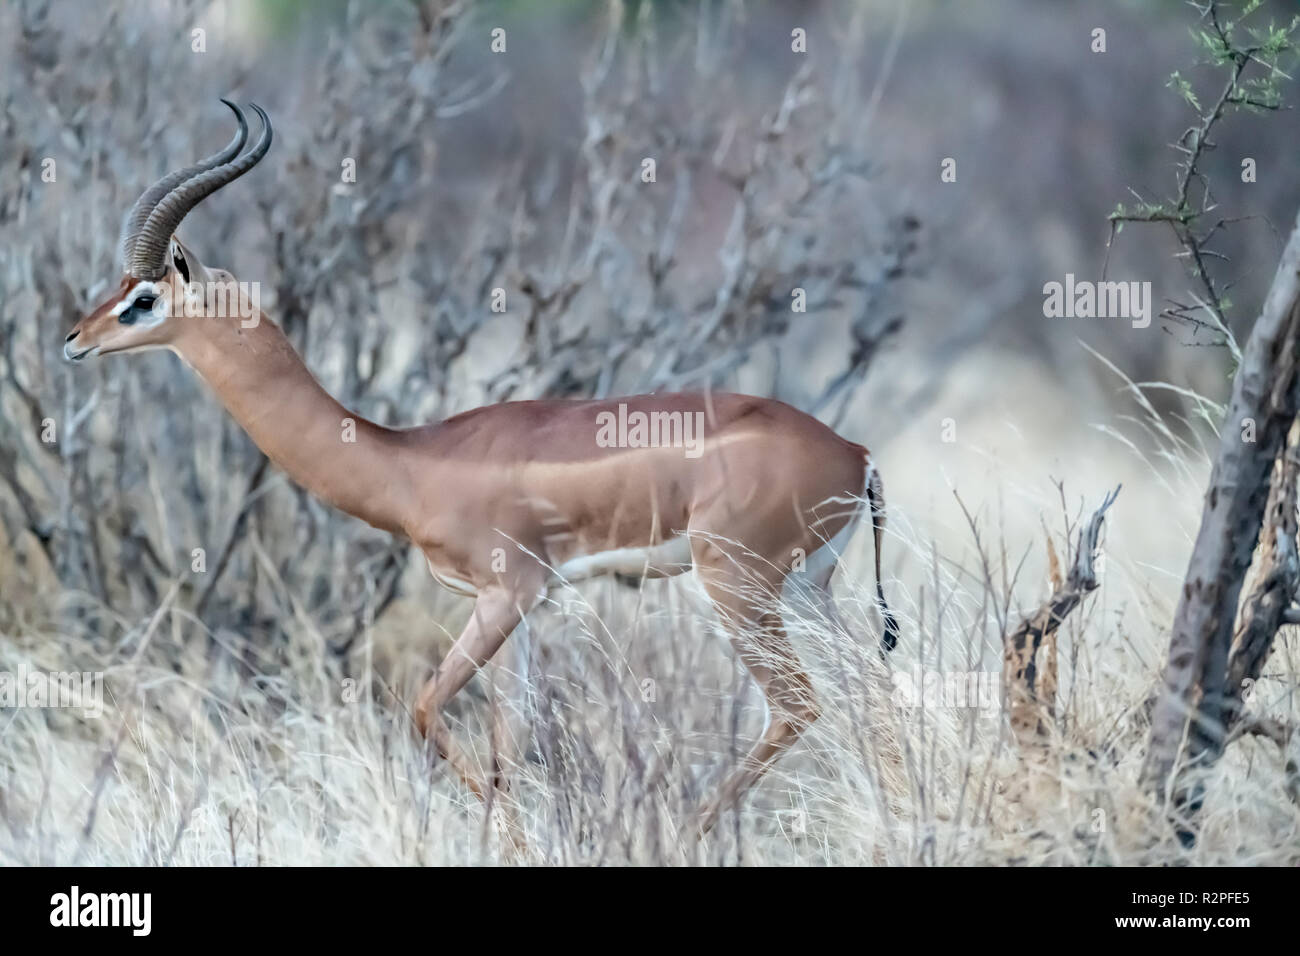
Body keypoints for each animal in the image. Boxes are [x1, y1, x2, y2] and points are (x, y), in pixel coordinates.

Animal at [64, 102, 899, 839]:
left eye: (143, 297)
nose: (74, 339)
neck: (407, 459)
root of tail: (856, 455)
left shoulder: (504, 595)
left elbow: (428, 709)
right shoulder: (521, 608)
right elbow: (511, 741)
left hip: (737, 584)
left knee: (800, 705)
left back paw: (692, 830)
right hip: (808, 587)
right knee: (872, 690)